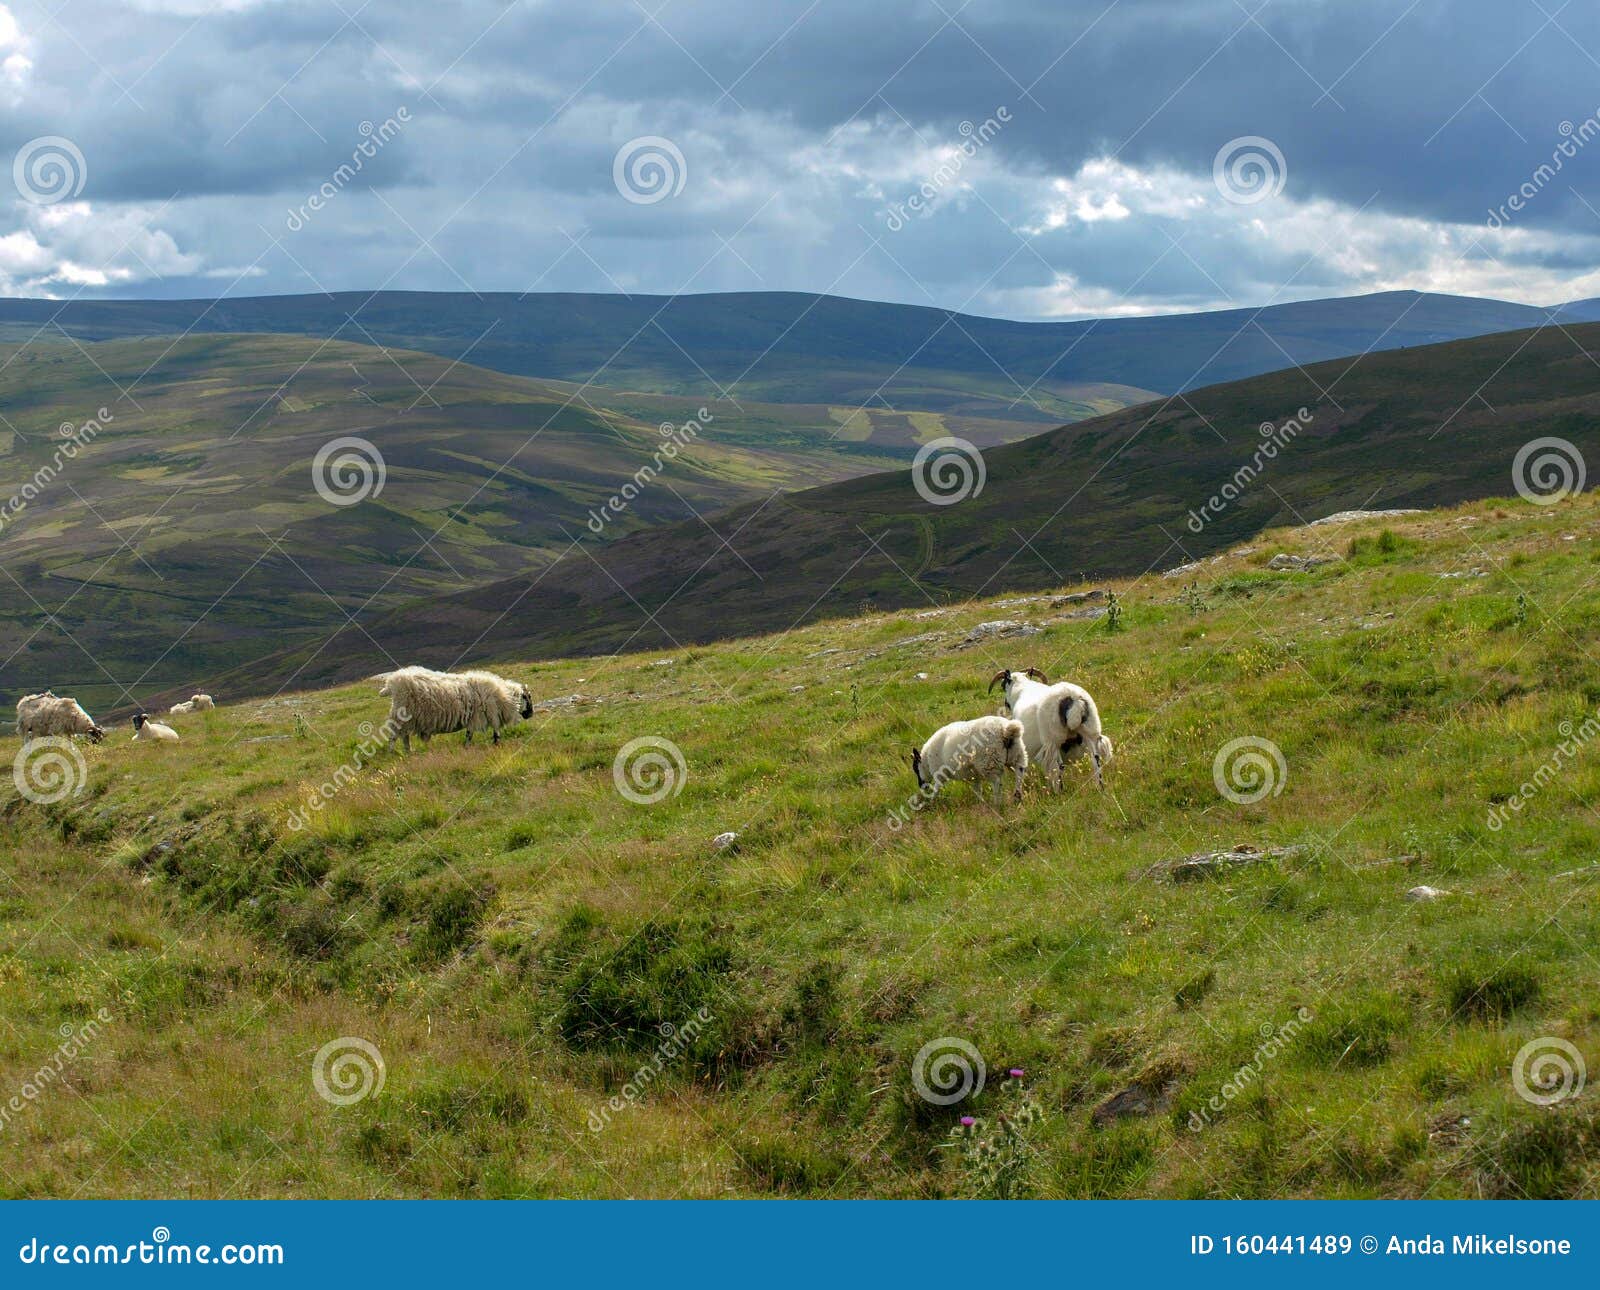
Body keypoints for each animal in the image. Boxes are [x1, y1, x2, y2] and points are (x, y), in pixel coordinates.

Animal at [373, 666, 534, 752]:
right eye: (527, 697)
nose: (531, 714)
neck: (503, 696)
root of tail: (392, 683)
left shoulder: (479, 717)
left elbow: (472, 734)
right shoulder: (486, 714)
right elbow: (488, 733)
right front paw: (495, 744)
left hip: (408, 719)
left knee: (404, 737)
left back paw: (408, 752)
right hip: (401, 715)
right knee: (393, 736)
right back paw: (392, 752)